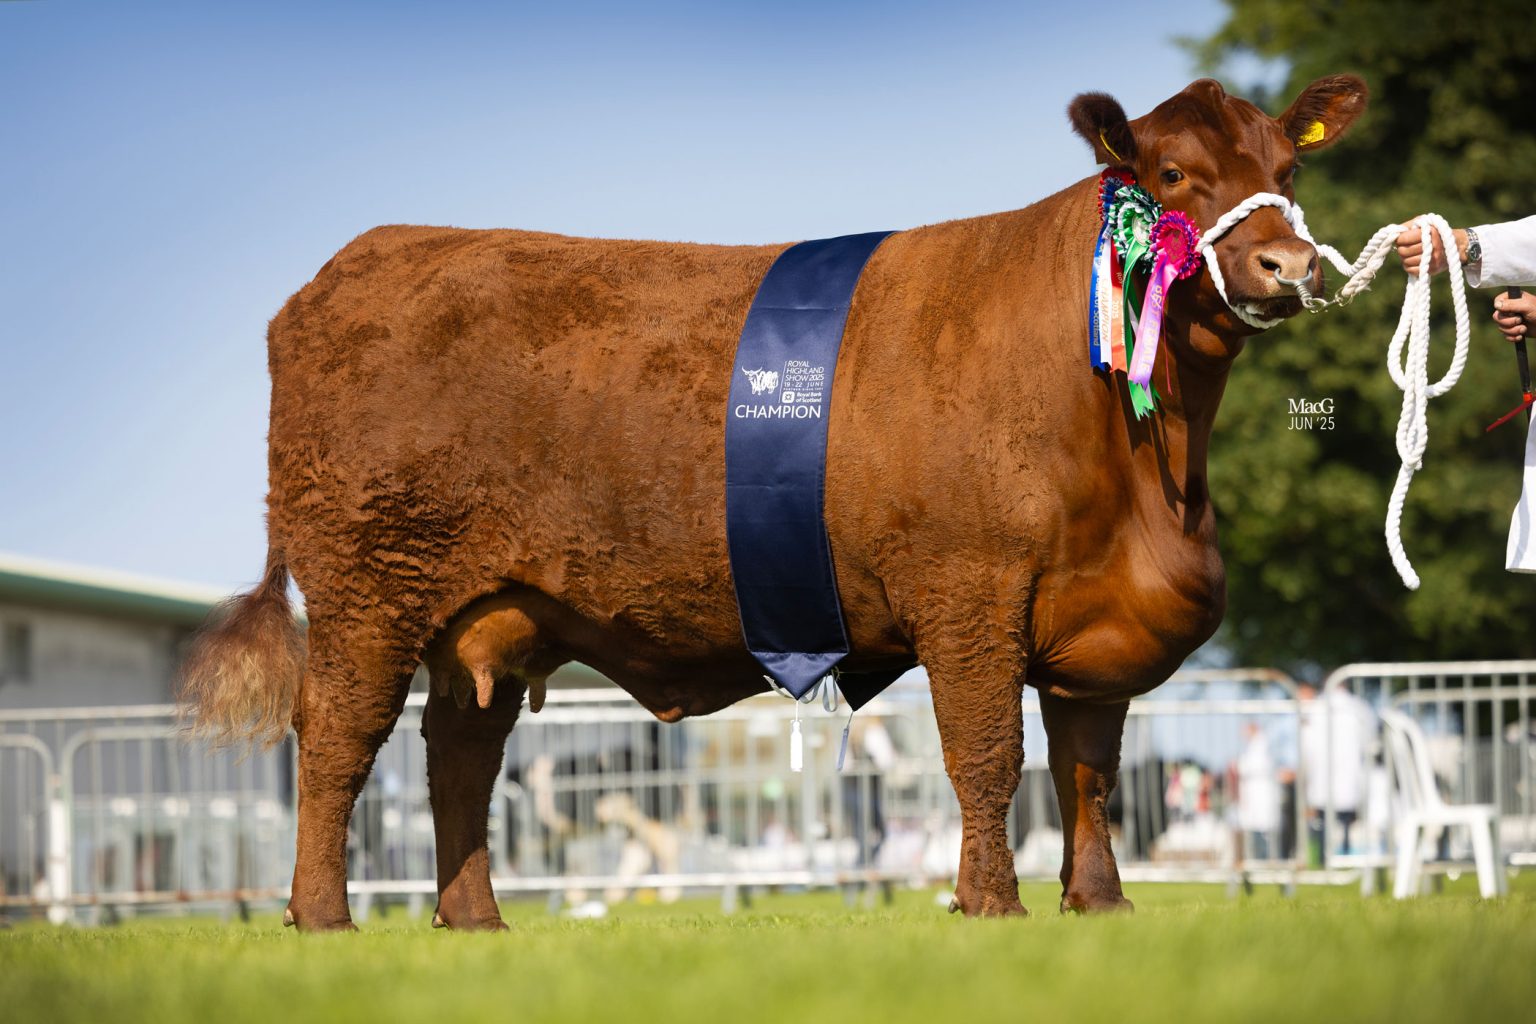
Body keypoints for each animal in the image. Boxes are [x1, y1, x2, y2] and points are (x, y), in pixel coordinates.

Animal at [181, 75, 1367, 931]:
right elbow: (989, 755)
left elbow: (1087, 769)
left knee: (458, 750)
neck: (1145, 473)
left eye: (1287, 167)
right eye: (1171, 171)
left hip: (488, 611)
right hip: (369, 585)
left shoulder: (1092, 617)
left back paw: (475, 923)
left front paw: (1100, 903)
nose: (1290, 264)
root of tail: (358, 263)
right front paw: (990, 905)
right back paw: (321, 918)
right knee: (338, 735)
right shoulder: (969, 593)